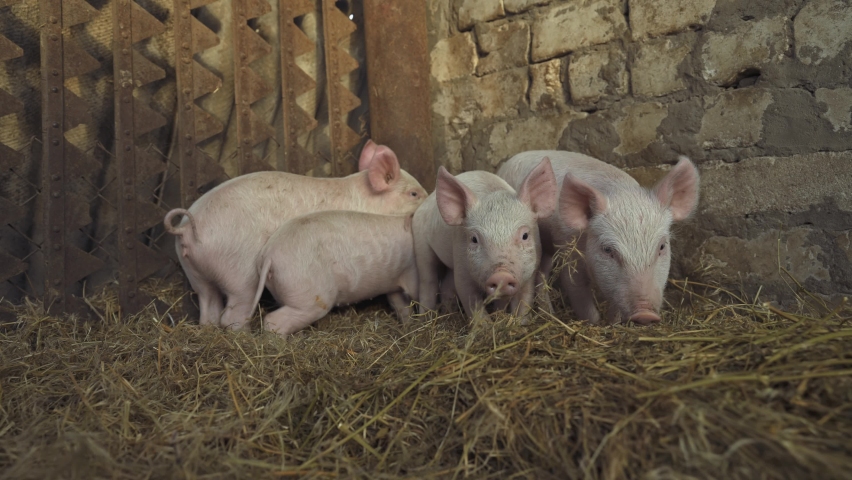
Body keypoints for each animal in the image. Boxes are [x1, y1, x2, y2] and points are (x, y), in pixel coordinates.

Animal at [250, 211, 418, 337]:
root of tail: (269, 255)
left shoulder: (395, 286)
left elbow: (402, 308)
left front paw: (408, 329)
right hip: (309, 294)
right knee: (273, 320)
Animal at [413, 157, 557, 319]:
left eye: (525, 235)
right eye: (474, 239)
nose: (501, 276)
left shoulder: (531, 270)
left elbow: (524, 301)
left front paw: (517, 321)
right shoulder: (462, 267)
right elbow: (472, 304)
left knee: (445, 285)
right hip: (420, 244)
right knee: (428, 281)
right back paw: (425, 317)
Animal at [497, 151, 700, 325]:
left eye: (662, 246)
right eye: (608, 250)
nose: (645, 314)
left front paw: (614, 323)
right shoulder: (570, 253)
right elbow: (576, 289)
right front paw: (595, 323)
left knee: (542, 272)